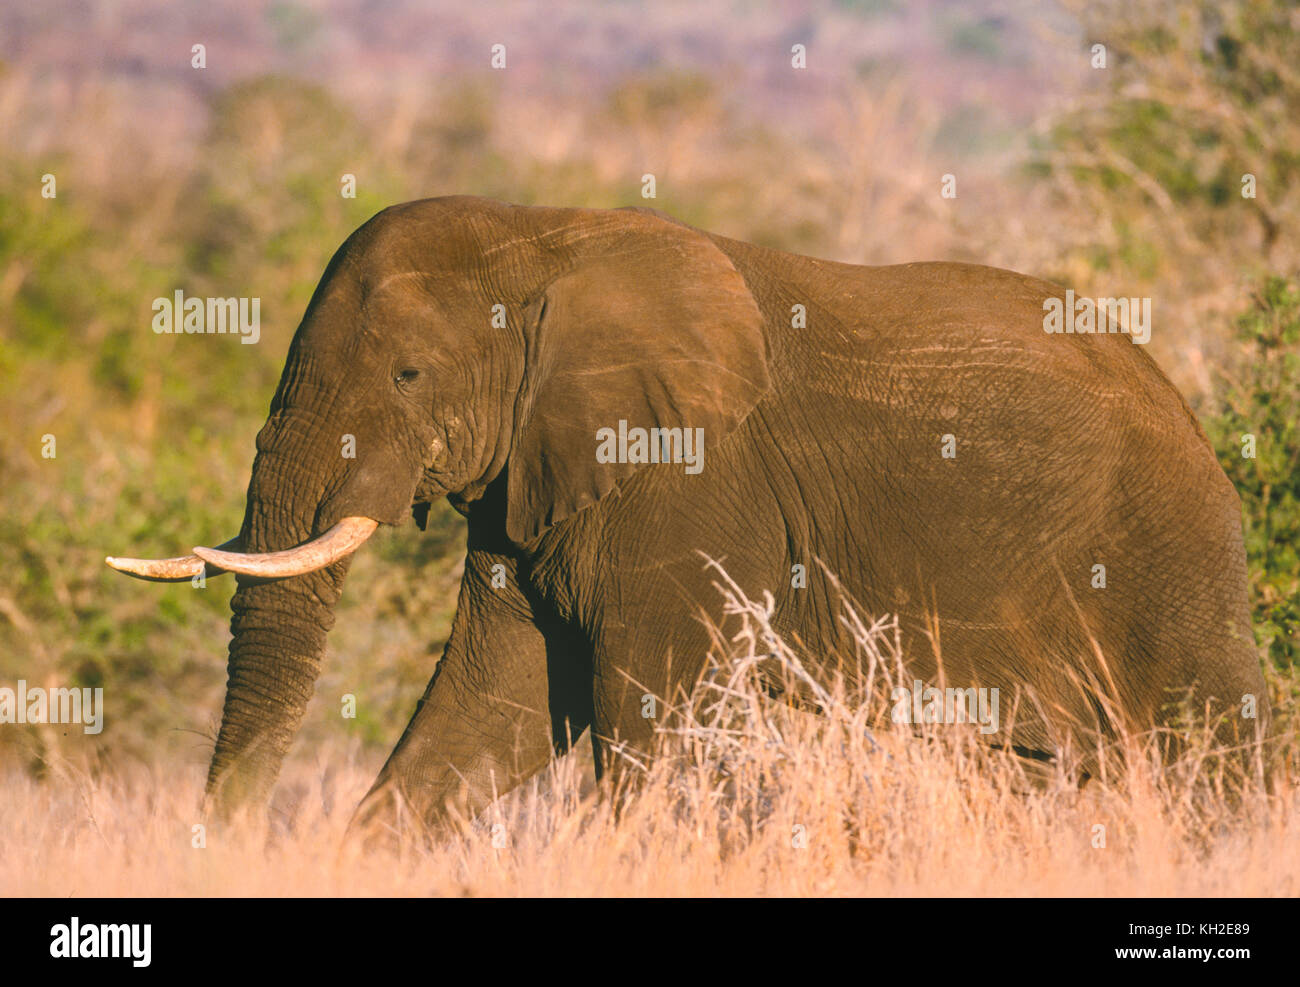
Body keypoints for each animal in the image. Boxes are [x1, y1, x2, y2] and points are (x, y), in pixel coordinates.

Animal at [107, 195, 1268, 831]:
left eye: (406, 374)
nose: (226, 838)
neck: (542, 234)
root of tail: (1188, 408)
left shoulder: (695, 481)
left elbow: (635, 713)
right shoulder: (535, 476)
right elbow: (495, 699)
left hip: (1163, 555)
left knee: (1215, 751)